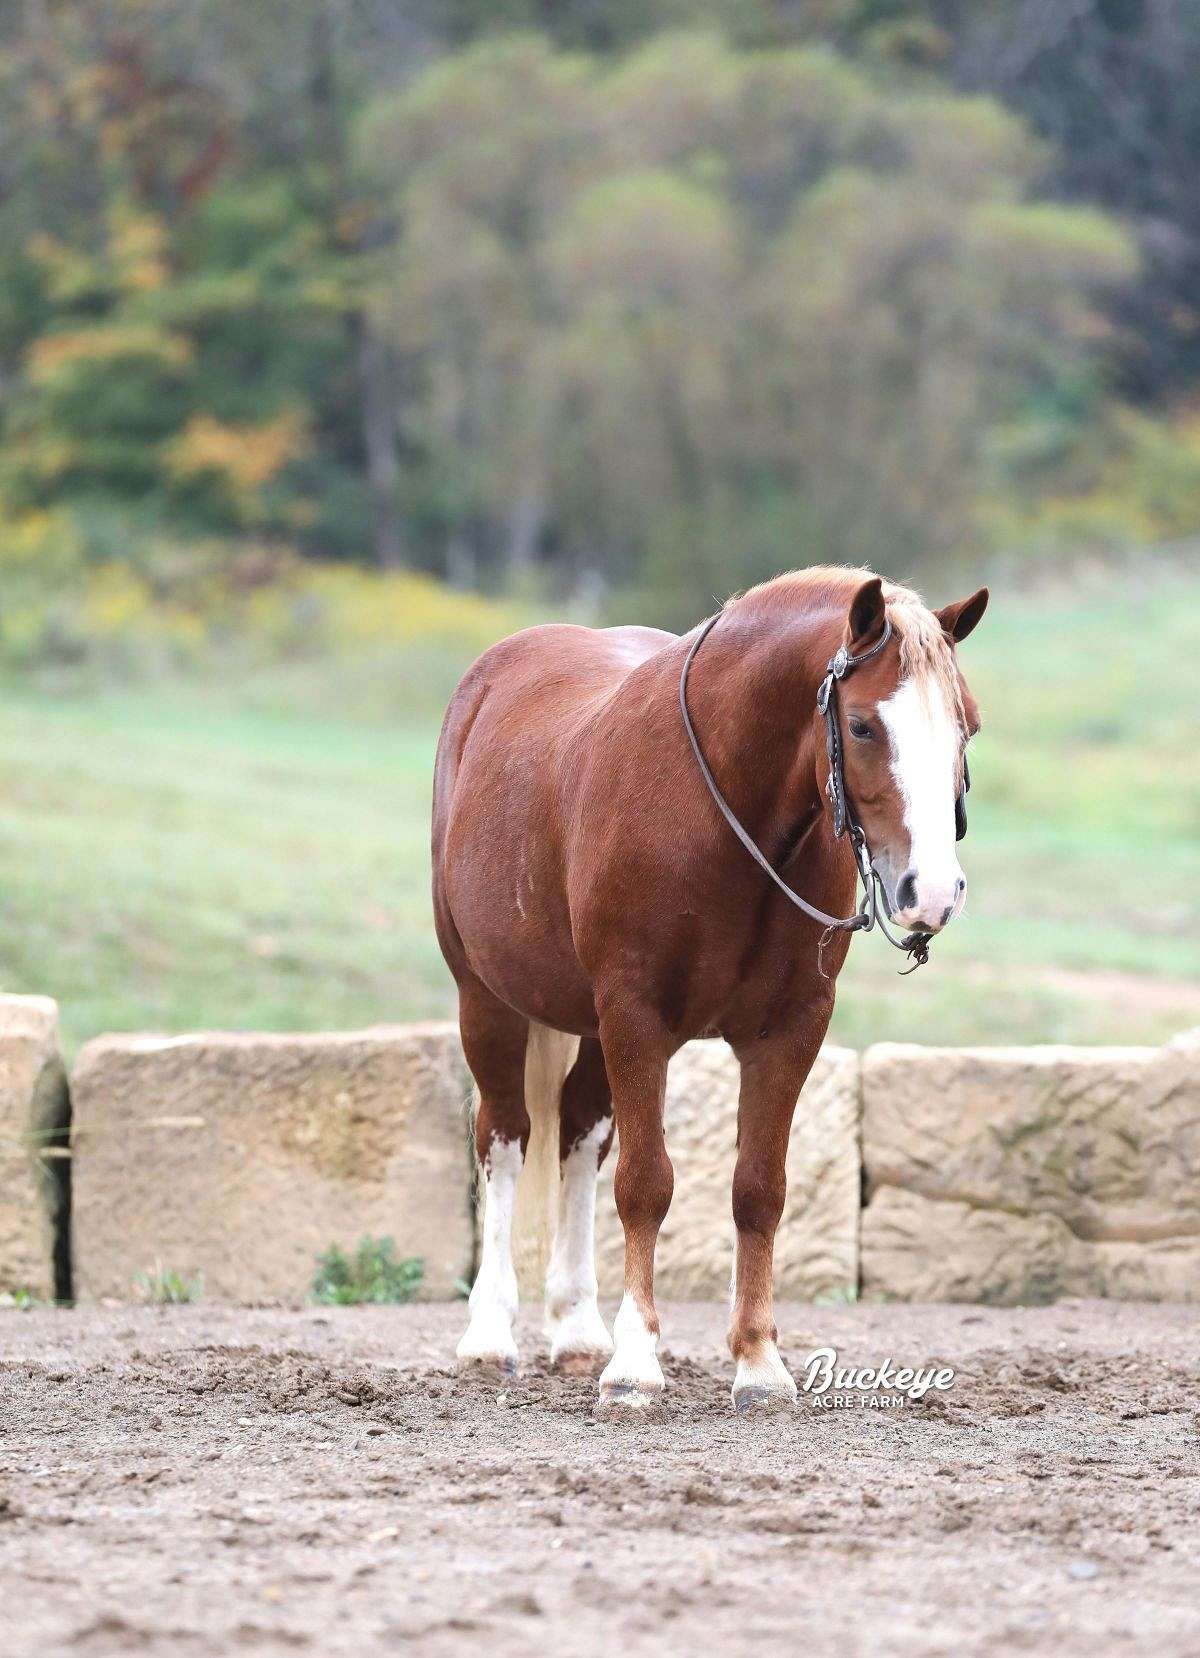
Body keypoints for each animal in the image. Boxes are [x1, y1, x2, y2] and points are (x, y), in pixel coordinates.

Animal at [431, 566, 987, 1409]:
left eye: (967, 728)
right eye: (862, 728)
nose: (932, 891)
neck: (727, 818)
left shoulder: (789, 1030)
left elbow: (759, 1188)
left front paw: (758, 1362)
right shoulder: (636, 1019)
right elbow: (646, 1185)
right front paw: (637, 1364)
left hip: (587, 1026)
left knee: (577, 1139)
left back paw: (578, 1330)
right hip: (487, 1001)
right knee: (505, 1138)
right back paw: (491, 1334)